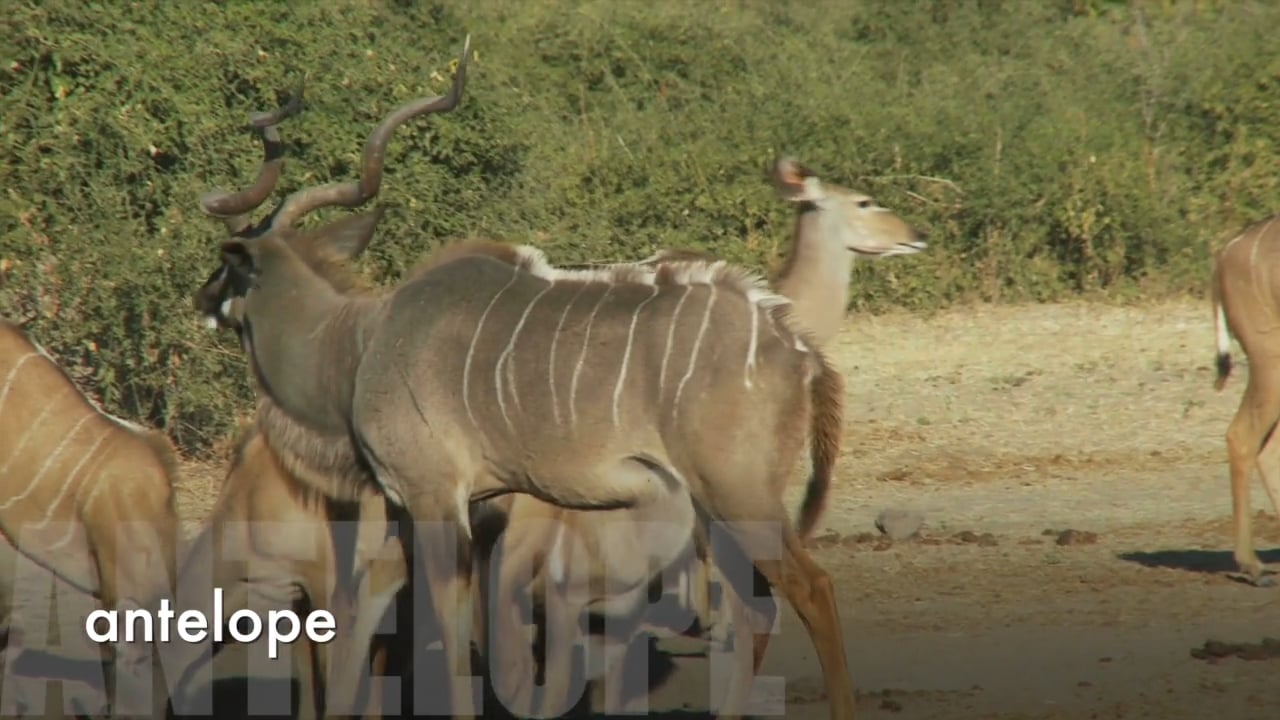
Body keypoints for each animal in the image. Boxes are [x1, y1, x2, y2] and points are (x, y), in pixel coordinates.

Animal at [189, 37, 860, 720]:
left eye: (229, 268)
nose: (202, 298)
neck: (358, 344)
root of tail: (796, 346)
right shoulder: (421, 504)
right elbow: (372, 601)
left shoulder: (438, 499)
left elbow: (451, 625)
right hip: (712, 507)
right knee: (755, 608)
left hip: (739, 496)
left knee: (811, 588)